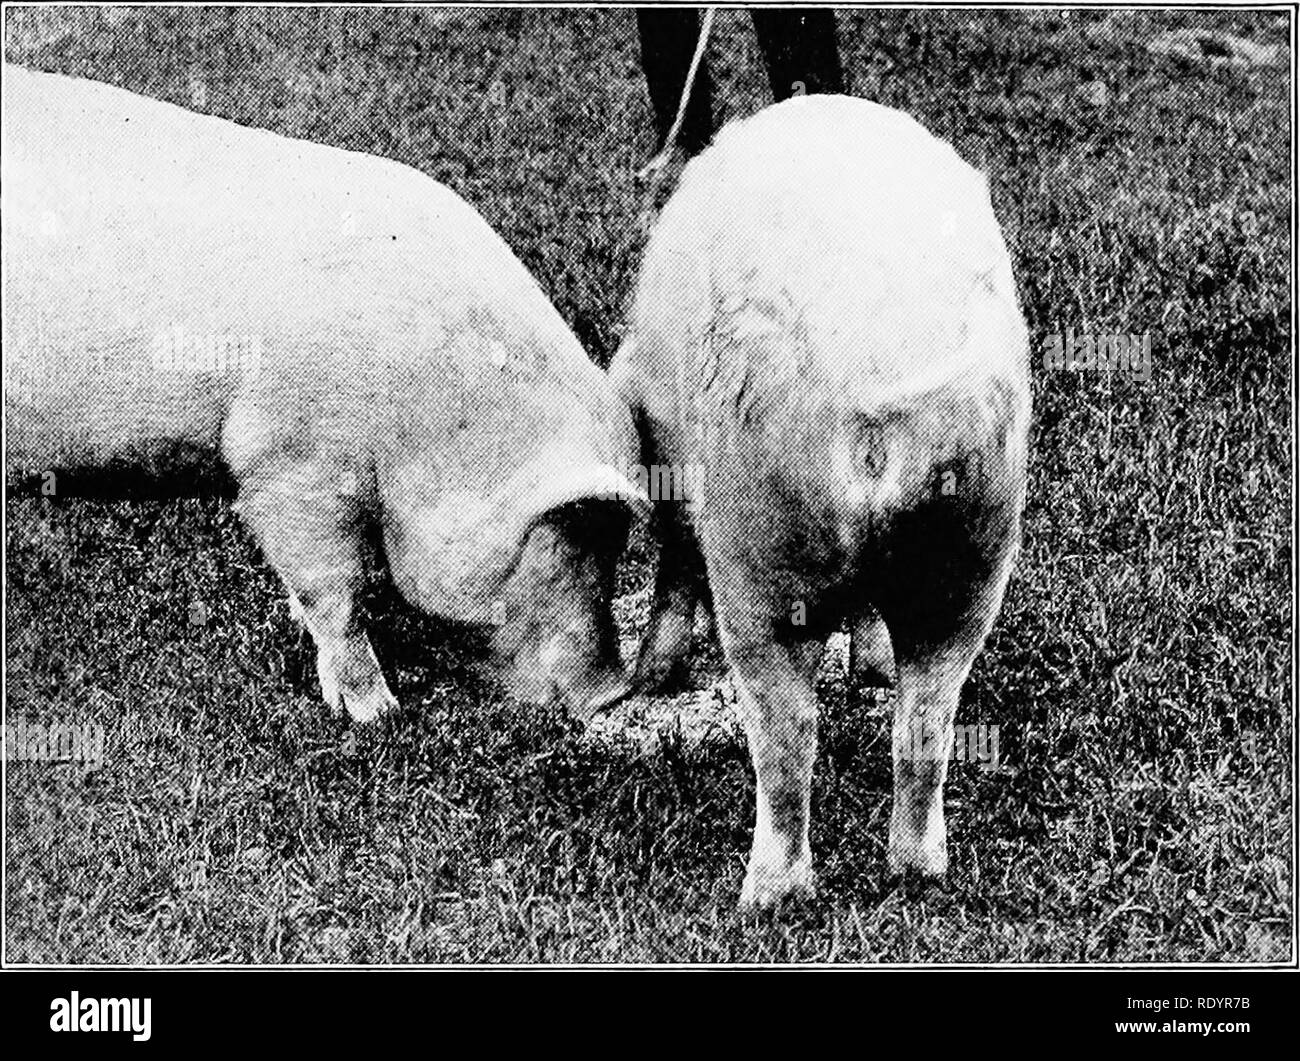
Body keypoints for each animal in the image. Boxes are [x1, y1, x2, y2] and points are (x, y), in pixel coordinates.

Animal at [4, 64, 647, 724]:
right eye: (571, 534)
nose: (615, 690)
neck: (429, 408)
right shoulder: (288, 461)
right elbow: (337, 592)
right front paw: (377, 713)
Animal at [611, 95, 1030, 908]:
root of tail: (879, 369)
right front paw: (869, 663)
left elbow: (675, 562)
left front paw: (649, 678)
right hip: (973, 541)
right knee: (926, 717)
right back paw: (917, 867)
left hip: (762, 544)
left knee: (786, 734)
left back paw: (768, 895)